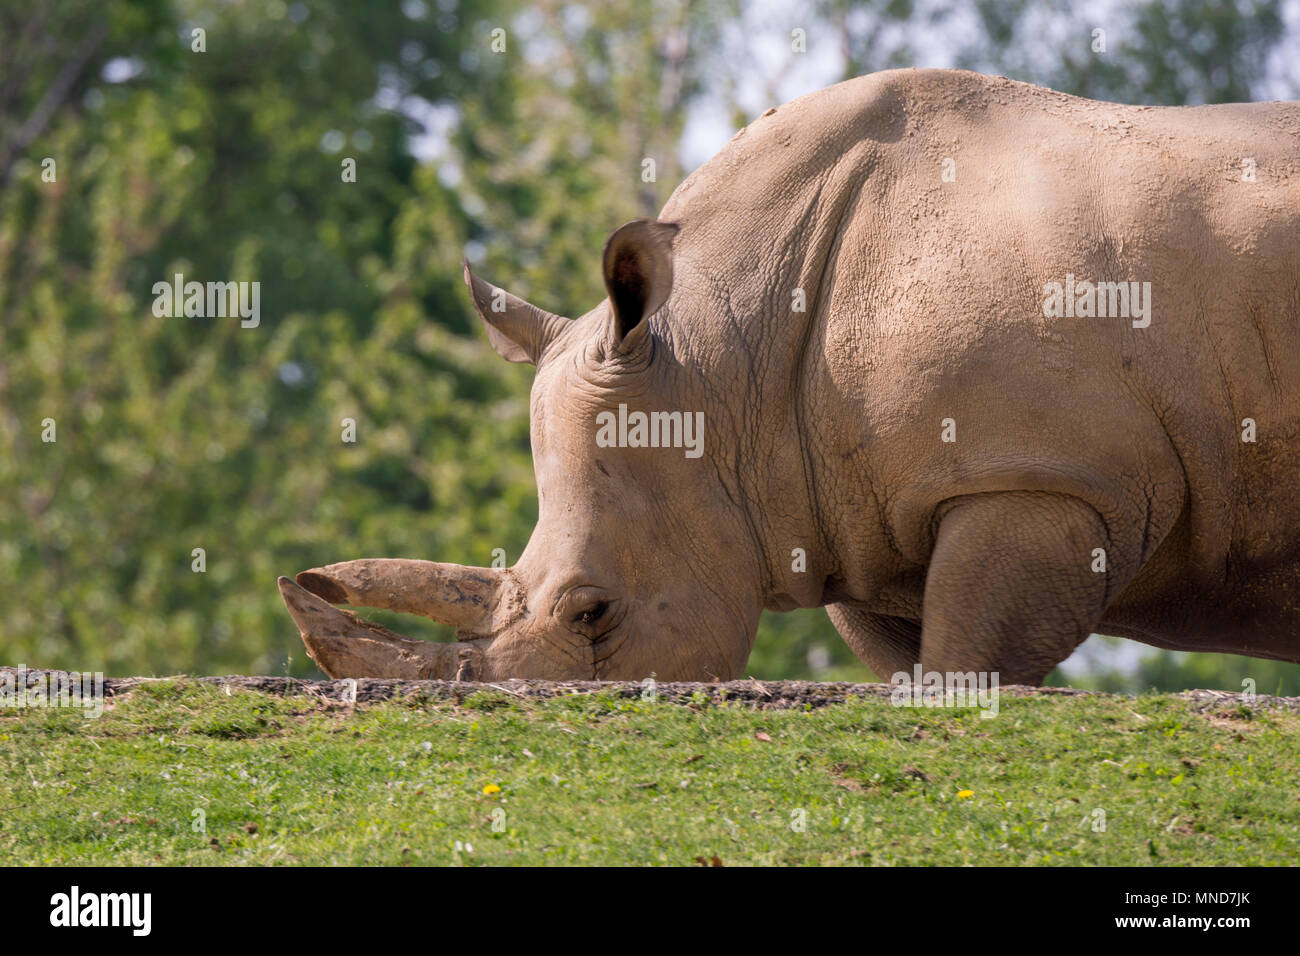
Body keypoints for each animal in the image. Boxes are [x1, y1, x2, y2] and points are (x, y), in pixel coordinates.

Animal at [277, 68, 1300, 686]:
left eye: (594, 612)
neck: (725, 359)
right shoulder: (866, 519)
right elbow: (923, 668)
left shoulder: (1044, 479)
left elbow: (968, 659)